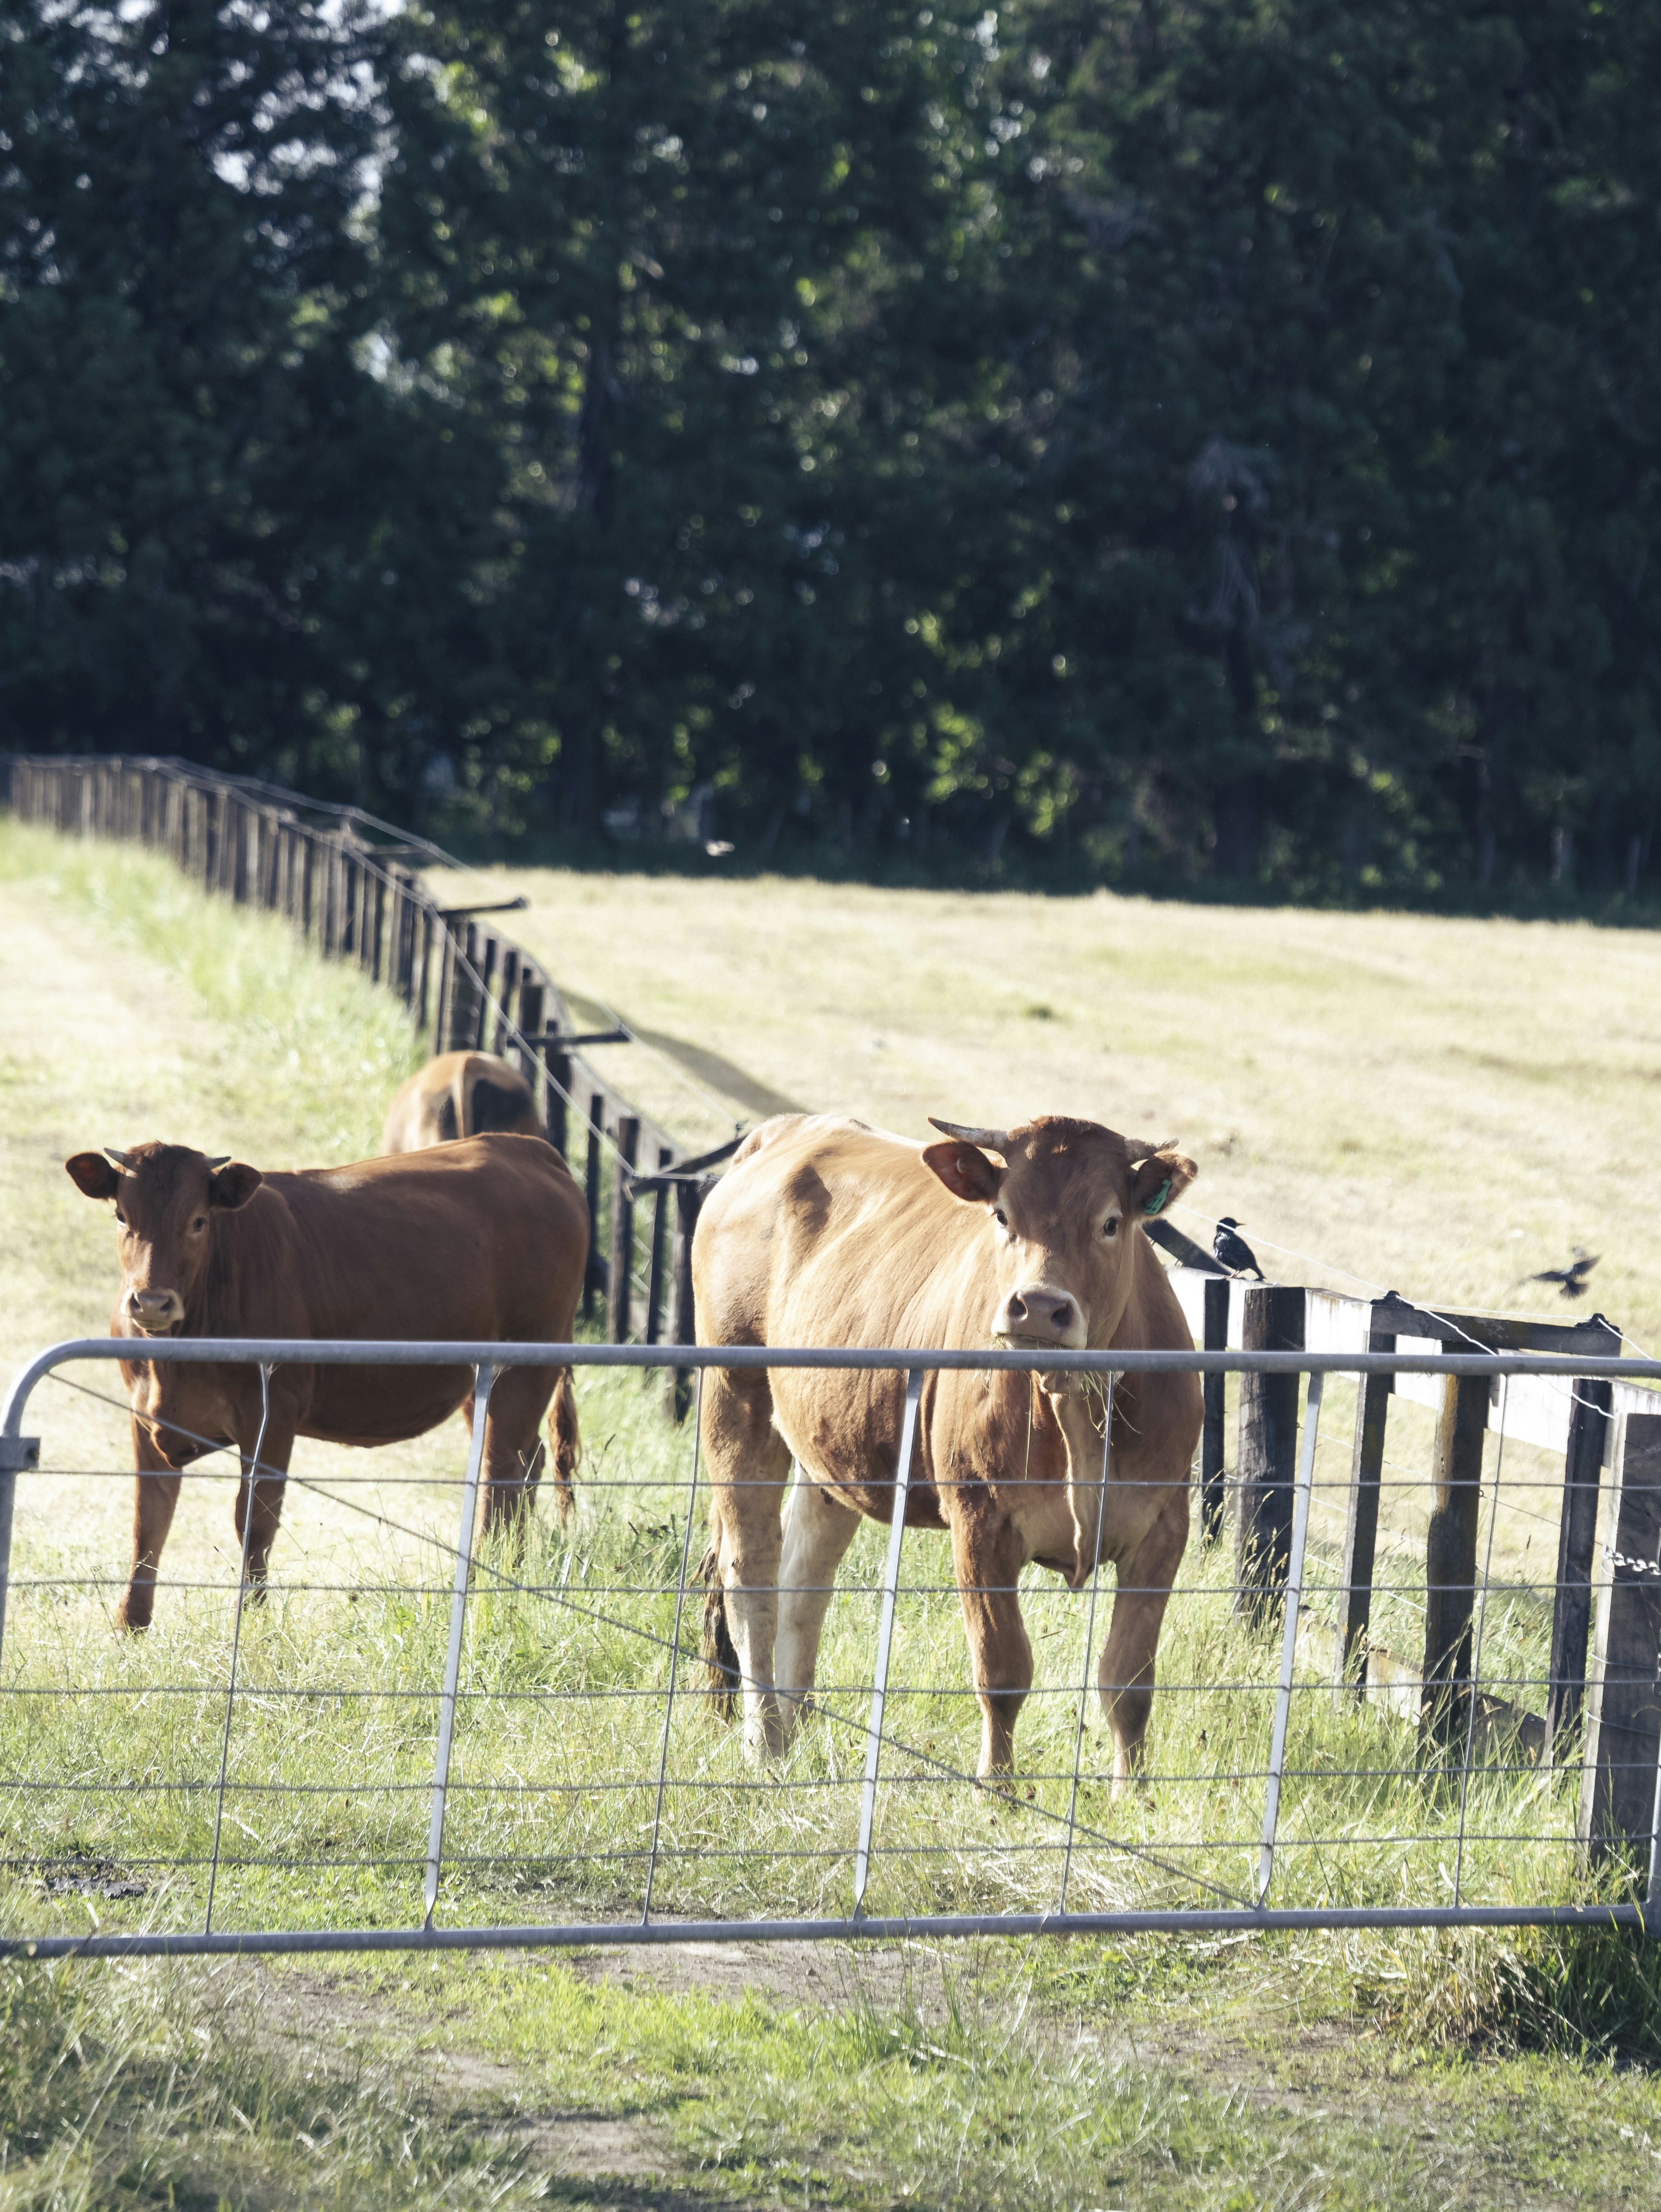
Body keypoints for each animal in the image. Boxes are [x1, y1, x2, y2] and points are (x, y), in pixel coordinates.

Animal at [64, 1133, 588, 1629]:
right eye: (121, 1216)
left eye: (198, 1221)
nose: (152, 1302)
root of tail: (524, 1147)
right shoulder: (144, 1415)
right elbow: (148, 1520)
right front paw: (130, 1624)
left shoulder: (272, 1413)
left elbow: (255, 1522)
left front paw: (253, 1620)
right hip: (482, 1383)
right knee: (527, 1463)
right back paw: (513, 1571)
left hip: (526, 1365)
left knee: (502, 1475)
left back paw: (488, 1584)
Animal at [694, 1112, 1201, 1788]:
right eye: (1003, 1216)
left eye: (1111, 1222)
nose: (1039, 1307)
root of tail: (792, 1128)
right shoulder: (980, 1520)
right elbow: (1003, 1673)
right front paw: (997, 1792)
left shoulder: (1163, 1527)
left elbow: (1128, 1683)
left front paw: (1132, 1799)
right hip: (734, 1401)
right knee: (749, 1572)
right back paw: (765, 1741)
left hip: (828, 1448)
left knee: (805, 1579)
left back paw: (794, 1734)